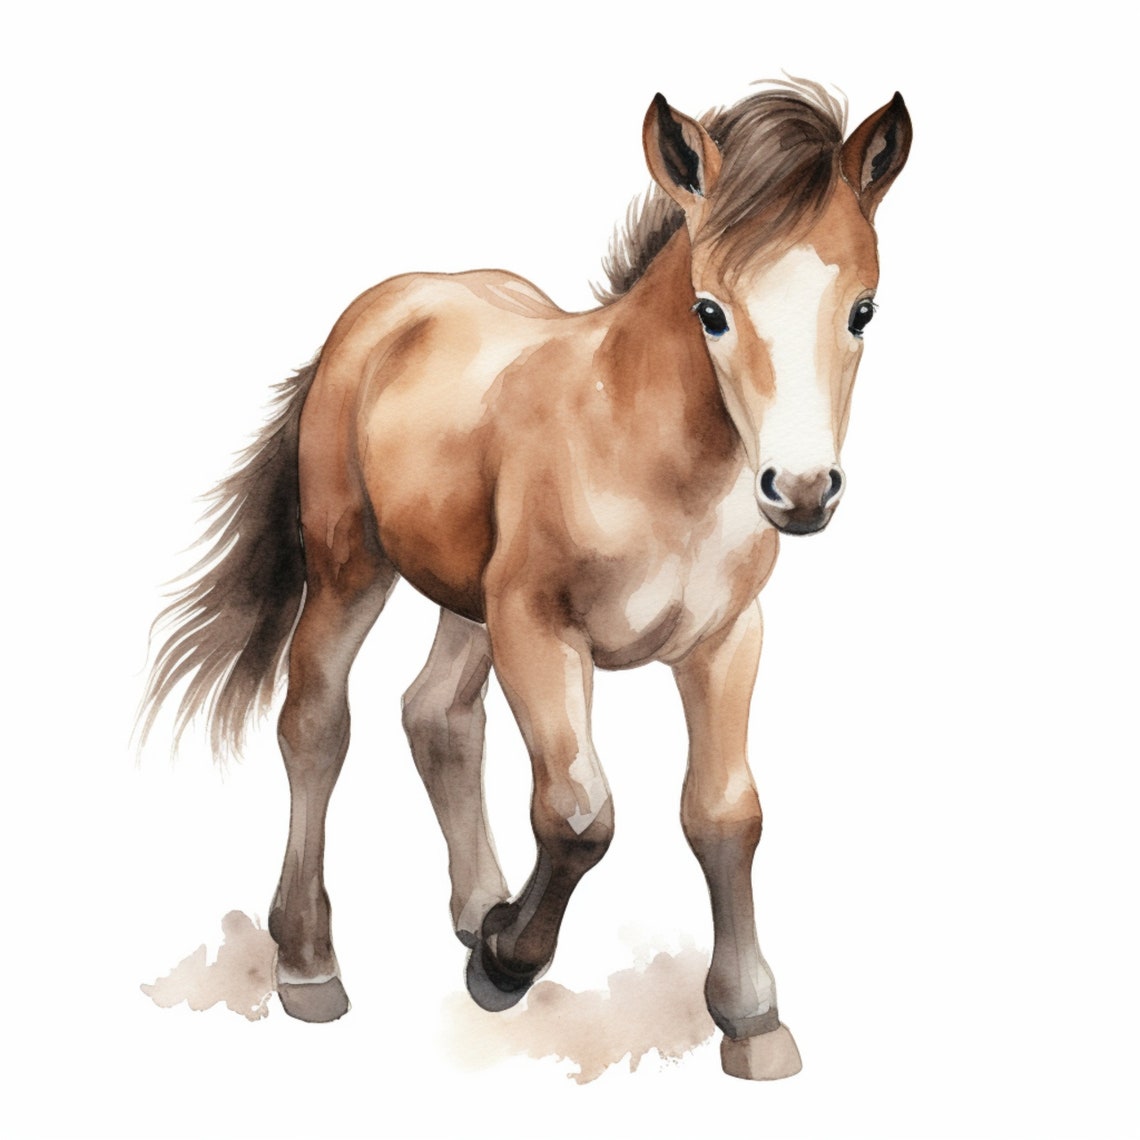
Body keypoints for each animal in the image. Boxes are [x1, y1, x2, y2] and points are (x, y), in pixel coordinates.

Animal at [140, 78, 911, 1080]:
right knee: (315, 720)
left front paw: (751, 1021)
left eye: (863, 310)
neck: (648, 454)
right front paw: (506, 966)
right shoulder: (540, 631)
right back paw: (311, 963)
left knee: (436, 715)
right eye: (710, 311)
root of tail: (393, 304)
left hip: (466, 600)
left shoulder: (725, 640)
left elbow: (724, 815)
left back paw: (478, 909)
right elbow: (581, 811)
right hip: (355, 569)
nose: (803, 489)